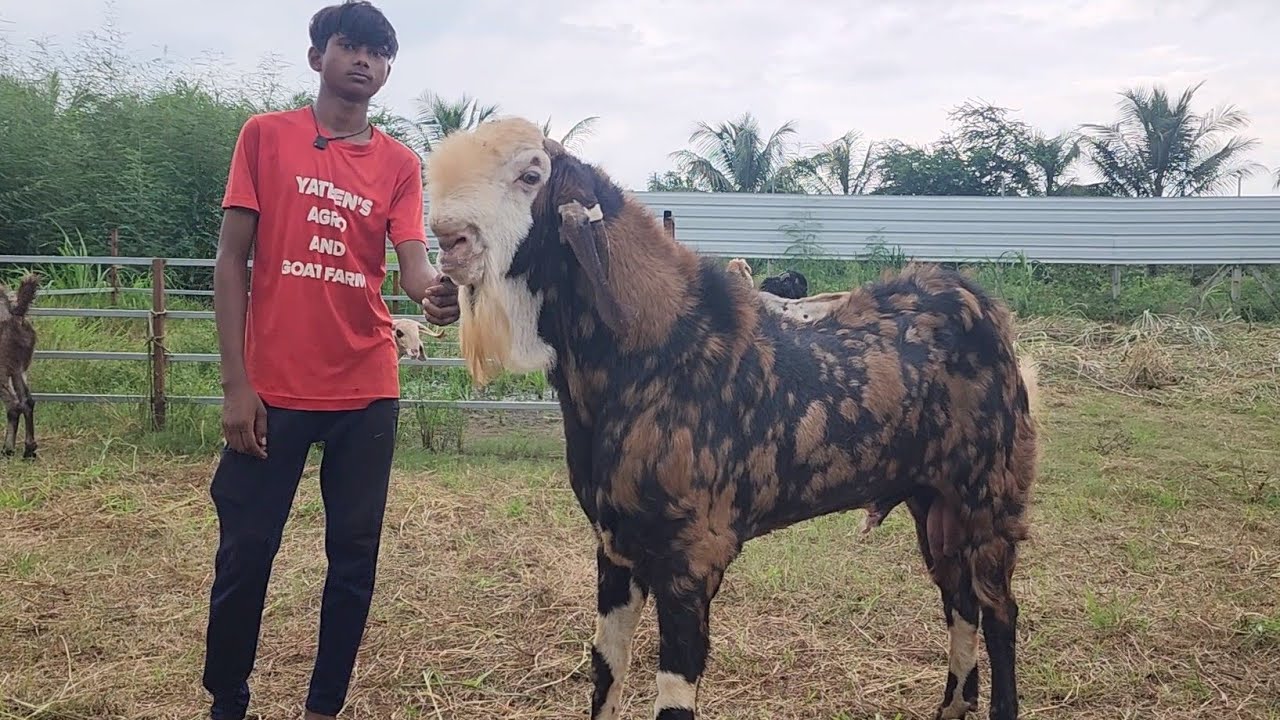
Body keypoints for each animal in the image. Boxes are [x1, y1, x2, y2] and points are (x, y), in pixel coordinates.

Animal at [424, 117, 1039, 720]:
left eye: (532, 175)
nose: (449, 239)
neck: (655, 353)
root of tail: (985, 307)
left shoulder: (693, 555)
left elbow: (673, 700)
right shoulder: (615, 546)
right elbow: (604, 673)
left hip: (990, 497)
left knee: (999, 609)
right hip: (932, 501)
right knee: (960, 602)